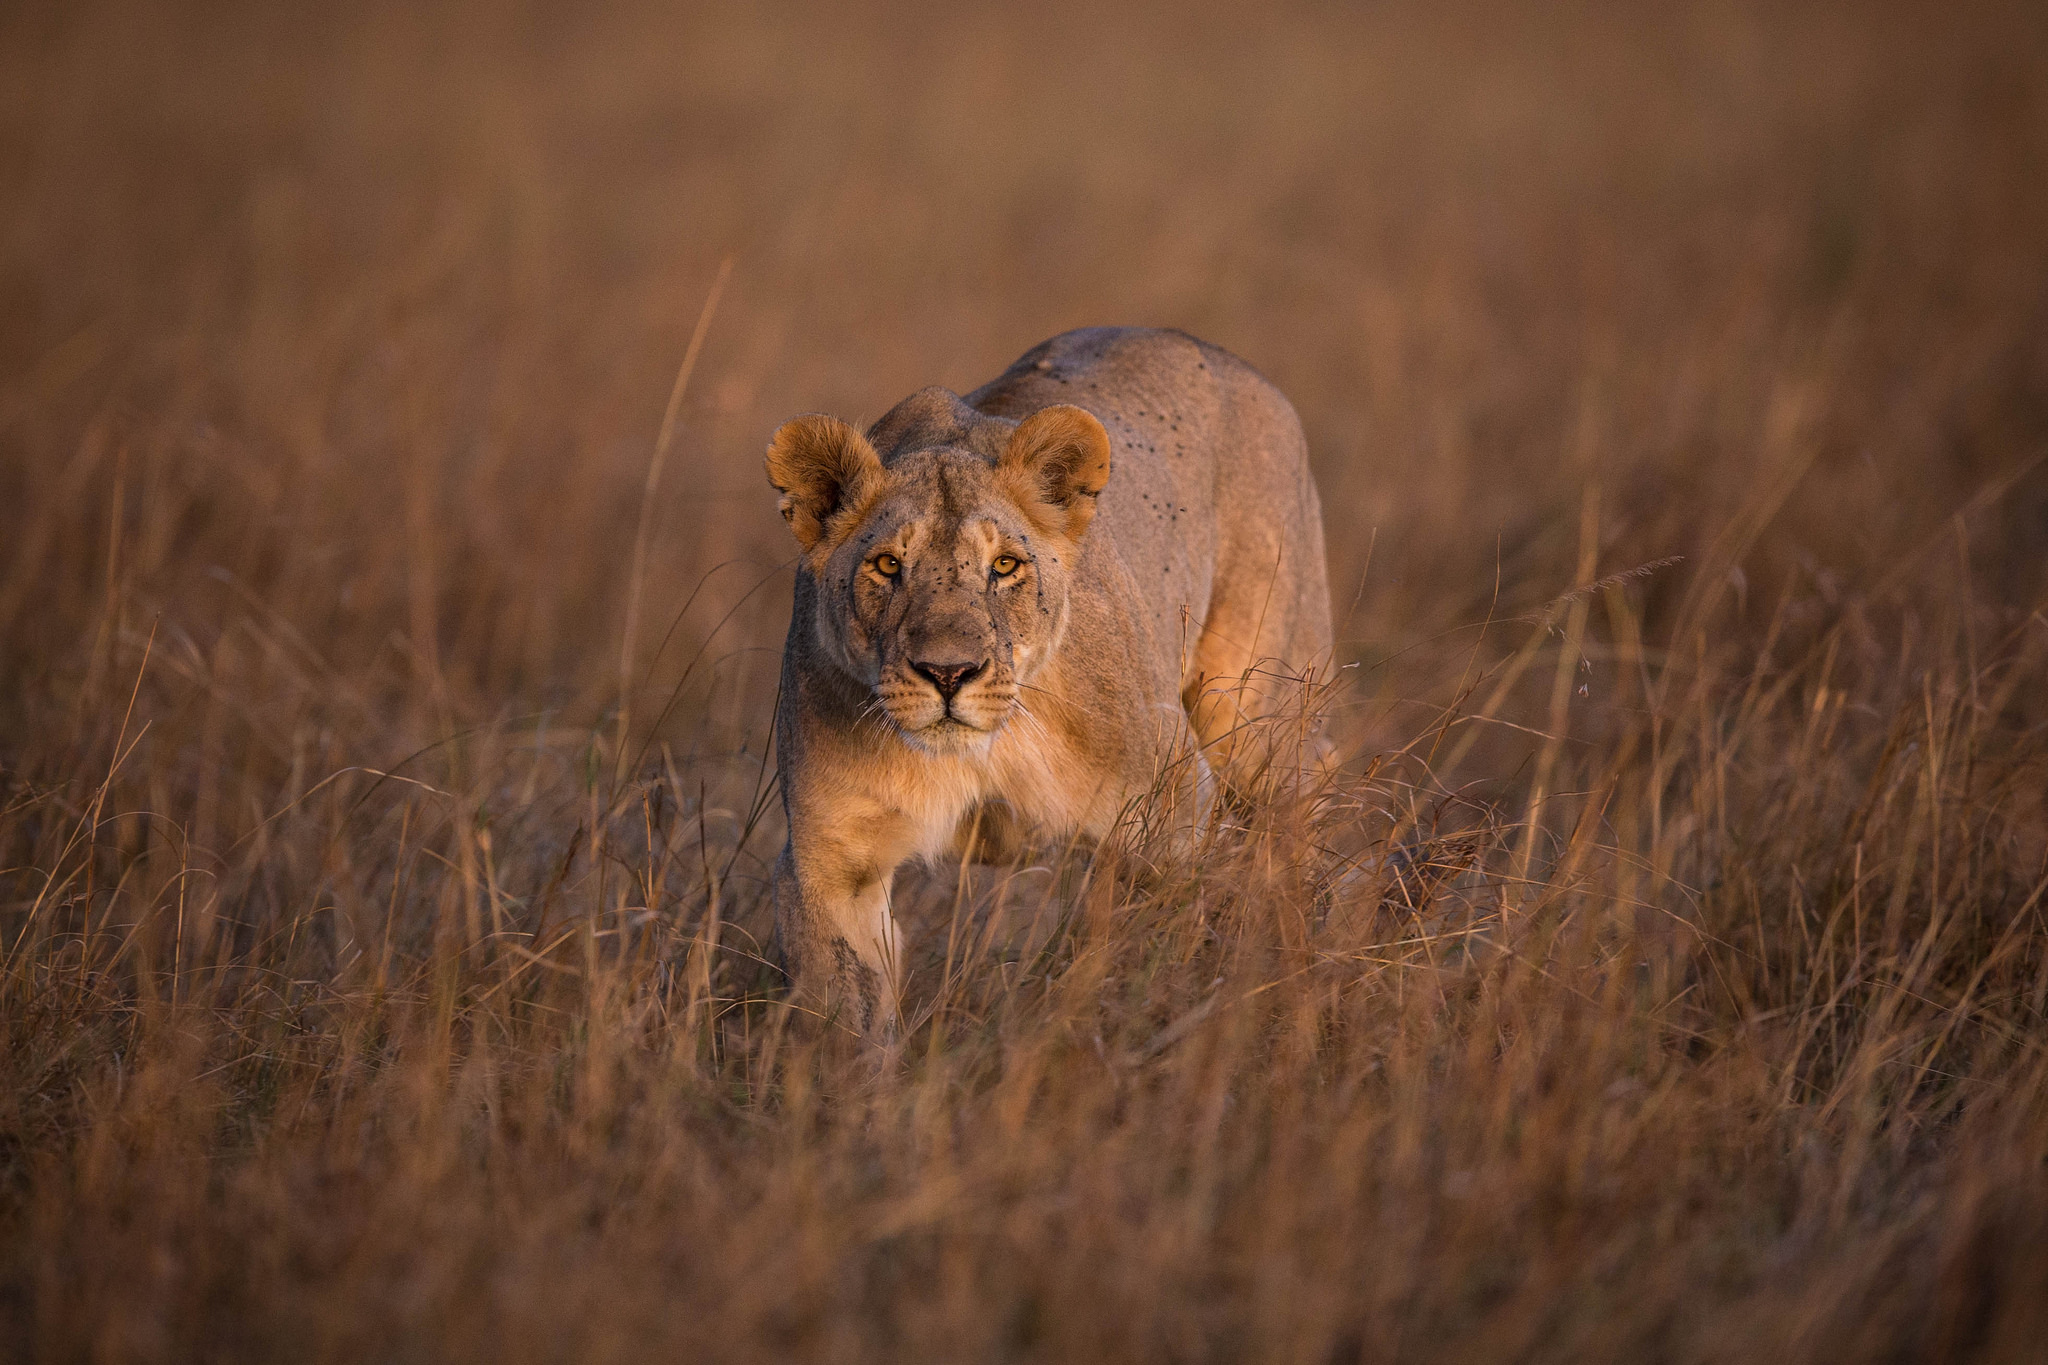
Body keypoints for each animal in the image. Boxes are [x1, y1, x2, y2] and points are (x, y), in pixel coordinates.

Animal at [763, 327, 1332, 1038]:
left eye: (1005, 566)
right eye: (888, 565)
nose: (948, 673)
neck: (983, 751)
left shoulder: (1168, 818)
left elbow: (1149, 953)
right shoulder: (833, 868)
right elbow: (850, 1028)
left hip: (1259, 718)